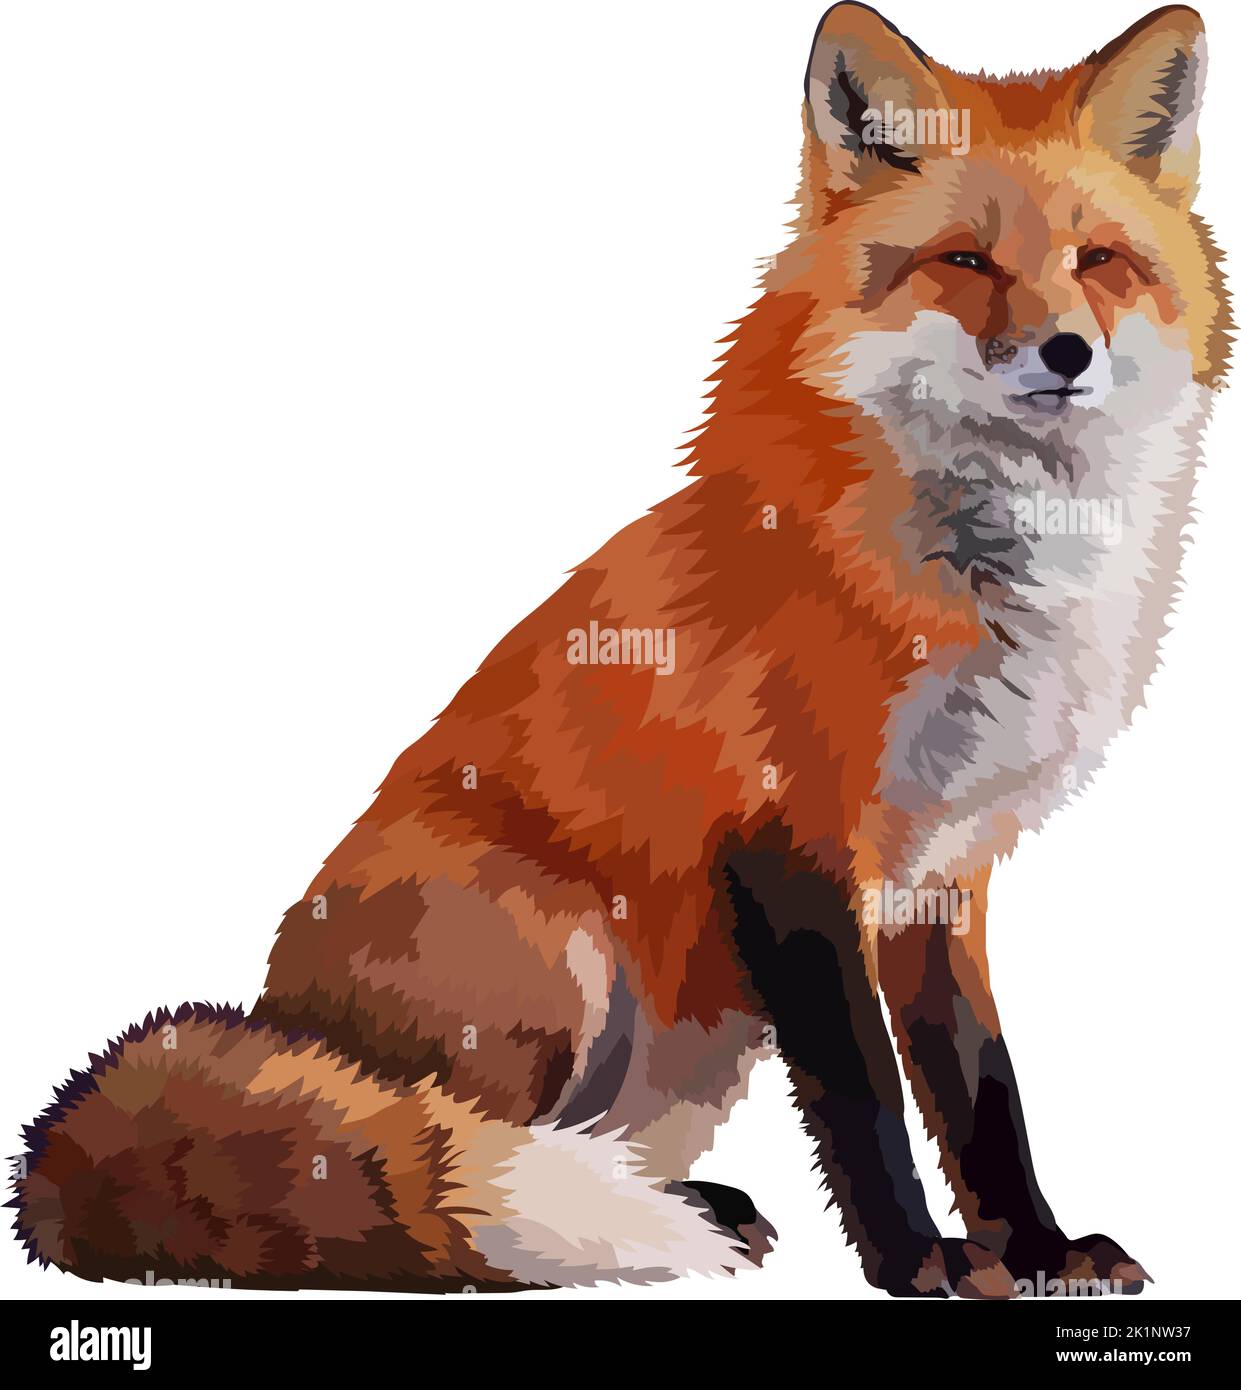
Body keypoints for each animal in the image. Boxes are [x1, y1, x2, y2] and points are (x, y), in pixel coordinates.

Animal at [13, 4, 1230, 1298]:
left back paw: (685, 1209)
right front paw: (917, 1262)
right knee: (422, 1185)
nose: (1065, 352)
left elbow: (979, 1089)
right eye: (964, 262)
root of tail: (279, 1016)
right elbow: (863, 1097)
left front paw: (1038, 1249)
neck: (977, 573)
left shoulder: (938, 873)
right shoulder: (785, 839)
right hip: (567, 947)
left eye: (1098, 261)